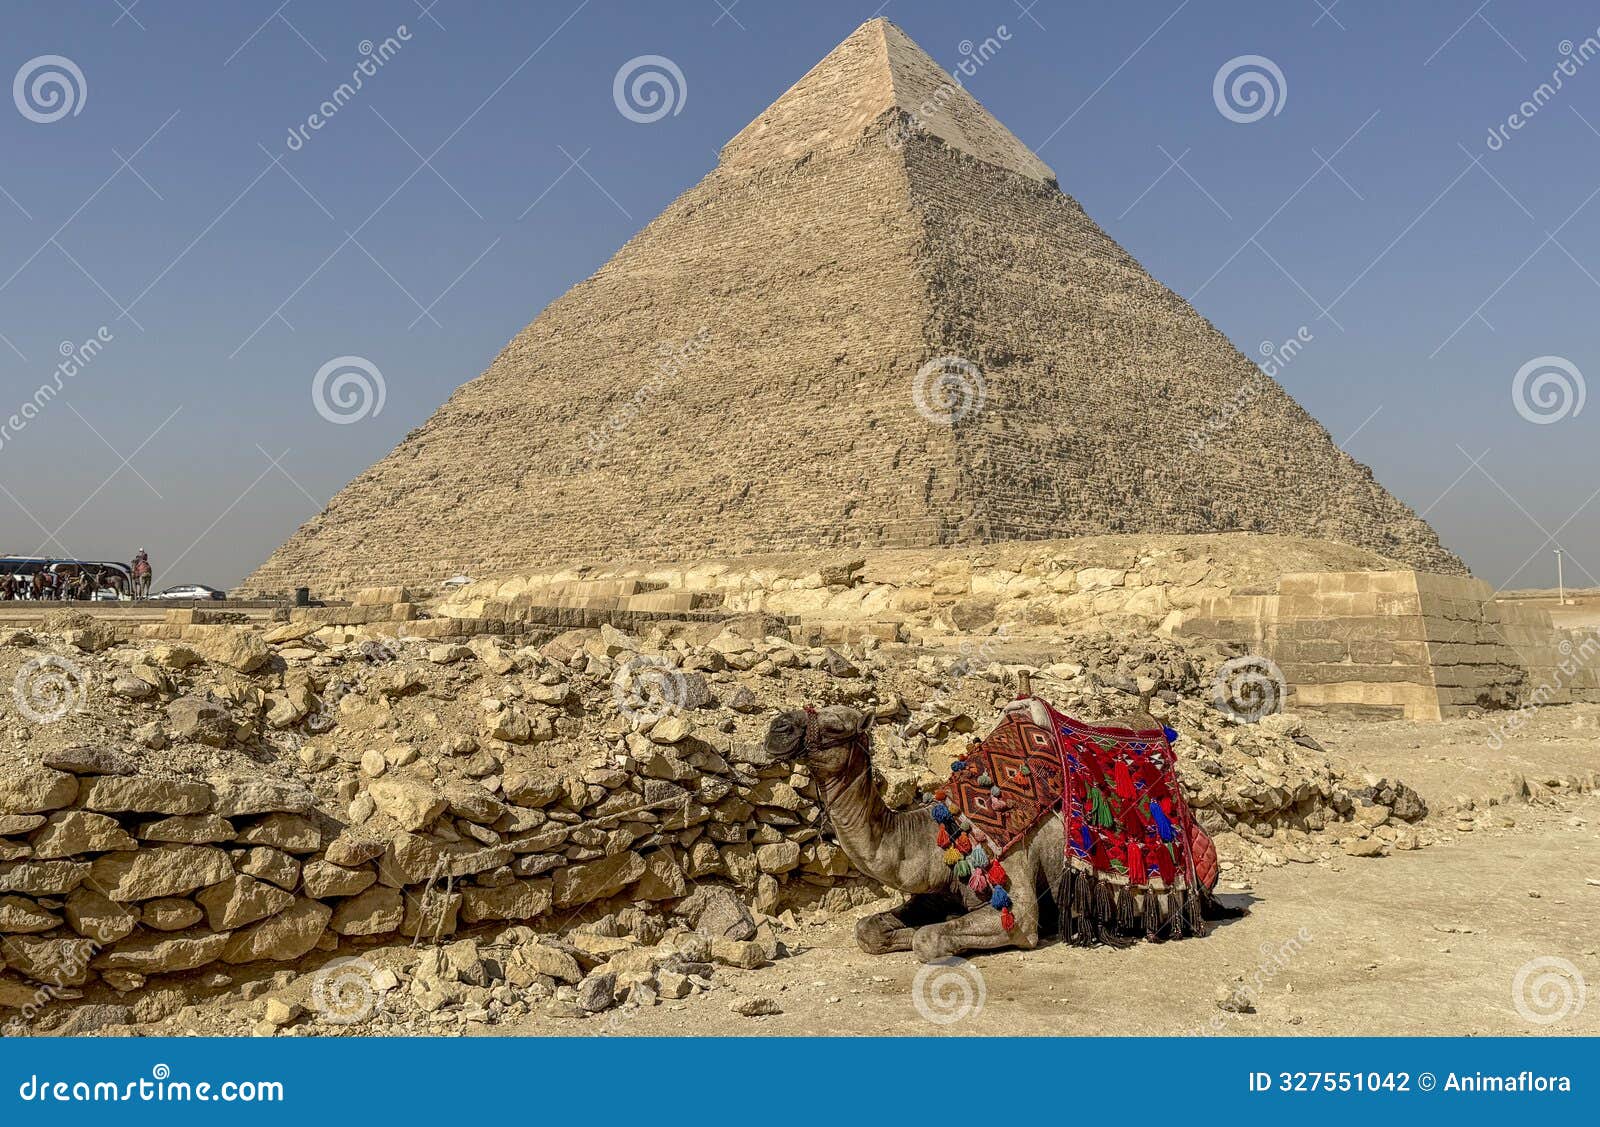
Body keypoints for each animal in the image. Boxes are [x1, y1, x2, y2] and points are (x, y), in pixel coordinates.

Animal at [765, 702, 1240, 962]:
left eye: (836, 726)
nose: (776, 729)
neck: (936, 833)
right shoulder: (936, 888)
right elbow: (869, 930)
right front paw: (898, 932)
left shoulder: (1014, 891)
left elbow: (929, 938)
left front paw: (925, 935)